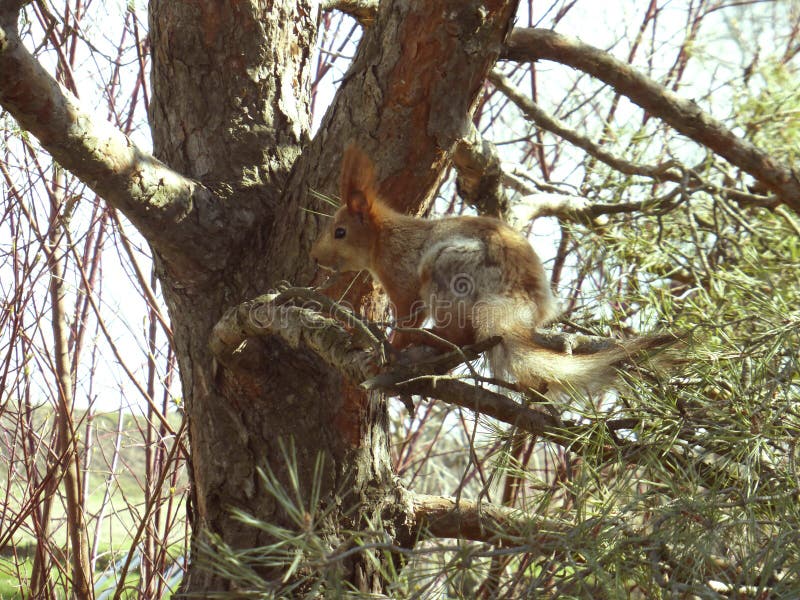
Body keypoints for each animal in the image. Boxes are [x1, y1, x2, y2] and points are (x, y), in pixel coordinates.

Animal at [310, 144, 668, 393]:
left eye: (339, 232)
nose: (315, 257)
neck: (383, 240)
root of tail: (522, 302)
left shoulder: (404, 282)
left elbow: (406, 321)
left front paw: (389, 348)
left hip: (448, 271)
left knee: (461, 334)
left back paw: (435, 340)